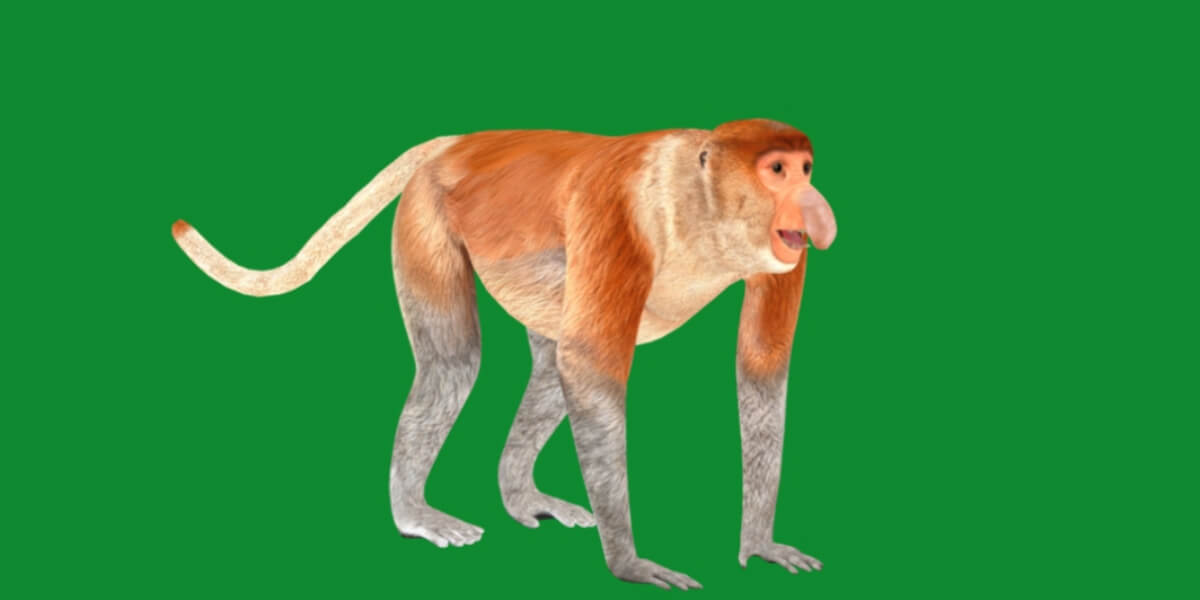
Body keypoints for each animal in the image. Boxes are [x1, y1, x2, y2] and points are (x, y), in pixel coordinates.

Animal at [172, 118, 837, 590]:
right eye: (777, 170)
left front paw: (760, 545)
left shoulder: (786, 254)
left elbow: (761, 373)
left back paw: (523, 496)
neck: (696, 199)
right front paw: (629, 563)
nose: (813, 203)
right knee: (455, 364)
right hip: (425, 217)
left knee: (545, 365)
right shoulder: (617, 218)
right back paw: (416, 514)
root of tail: (460, 143)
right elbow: (592, 366)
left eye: (804, 169)